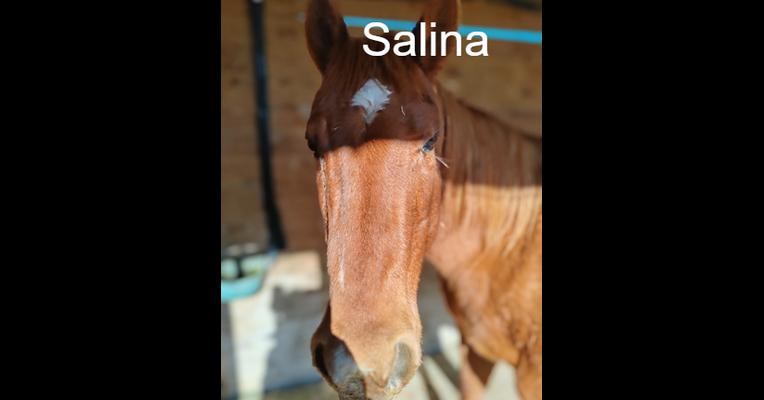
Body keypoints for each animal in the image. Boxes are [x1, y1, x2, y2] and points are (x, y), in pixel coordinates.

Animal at [304, 1, 541, 399]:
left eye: (431, 139)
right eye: (312, 143)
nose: (363, 359)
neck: (511, 249)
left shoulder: (532, 374)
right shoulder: (473, 349)